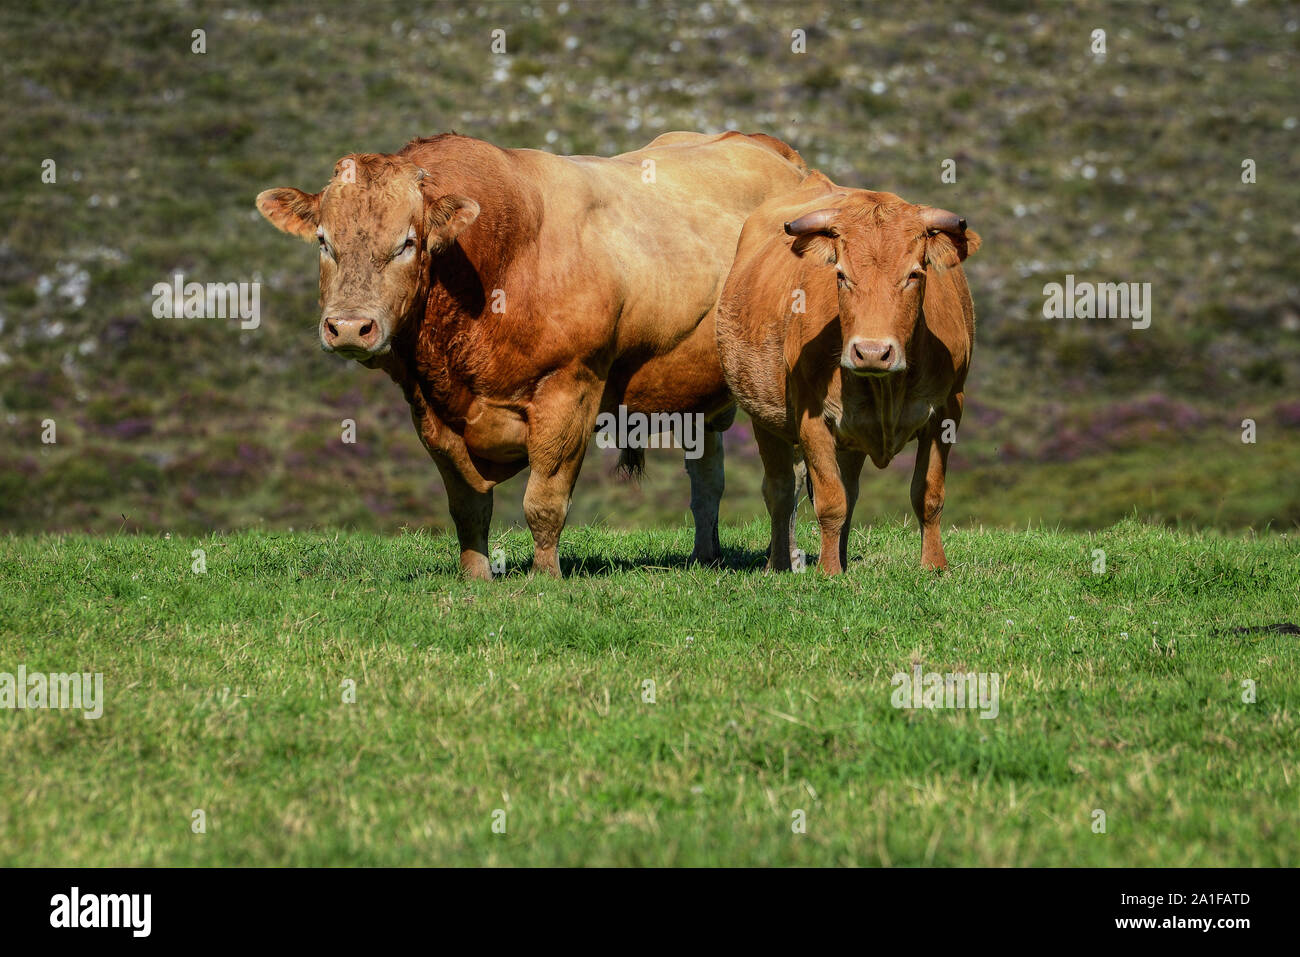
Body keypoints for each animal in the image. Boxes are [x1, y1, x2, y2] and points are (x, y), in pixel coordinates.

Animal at [256, 131, 808, 578]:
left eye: (408, 243)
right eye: (323, 241)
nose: (350, 327)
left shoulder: (569, 387)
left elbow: (544, 500)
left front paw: (546, 579)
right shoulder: (432, 414)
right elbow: (468, 507)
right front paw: (475, 577)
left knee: (791, 477)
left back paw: (786, 561)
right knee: (707, 478)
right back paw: (705, 556)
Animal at [715, 172, 981, 574]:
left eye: (914, 275)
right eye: (841, 275)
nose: (872, 352)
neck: (887, 388)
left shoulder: (948, 410)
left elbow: (928, 494)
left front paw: (935, 567)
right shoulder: (811, 417)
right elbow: (830, 501)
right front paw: (828, 572)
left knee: (850, 489)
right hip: (764, 418)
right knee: (779, 490)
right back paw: (780, 564)